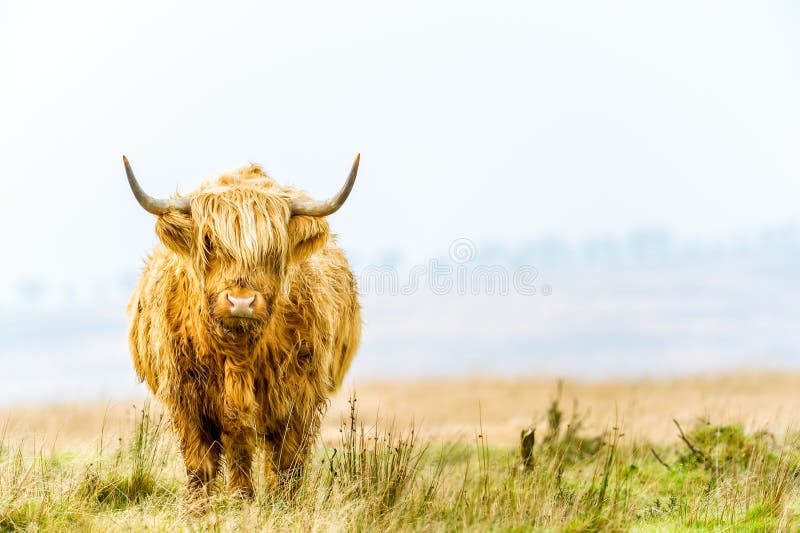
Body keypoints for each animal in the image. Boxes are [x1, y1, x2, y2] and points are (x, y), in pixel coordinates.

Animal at [123, 155, 362, 499]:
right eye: (209, 242)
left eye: (273, 249)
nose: (240, 302)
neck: (238, 354)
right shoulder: (187, 399)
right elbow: (203, 467)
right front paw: (210, 505)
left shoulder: (297, 399)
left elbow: (285, 464)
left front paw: (272, 503)